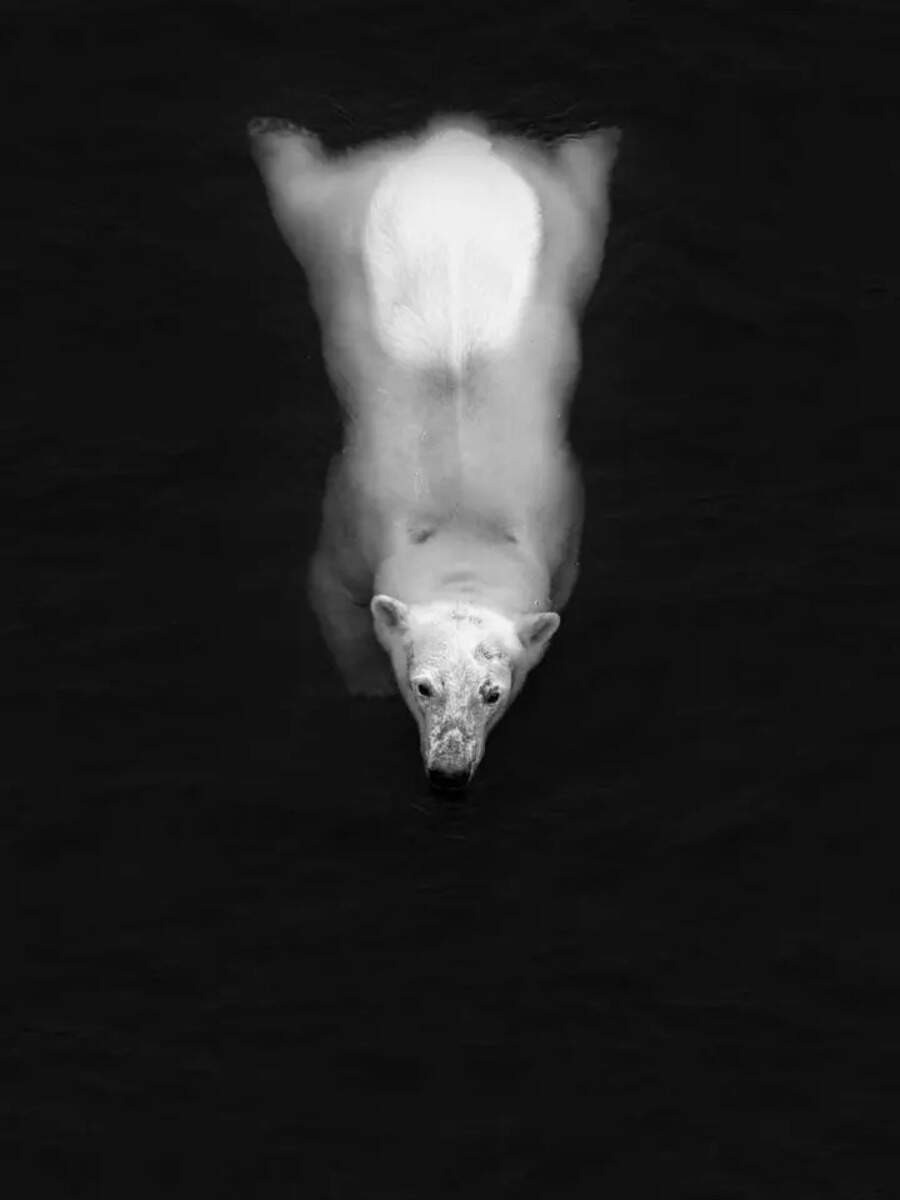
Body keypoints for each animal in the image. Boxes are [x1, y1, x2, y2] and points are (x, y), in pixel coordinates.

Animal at [248, 113, 619, 790]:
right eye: (422, 685)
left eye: (493, 691)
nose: (449, 772)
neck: (461, 518)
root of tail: (453, 144)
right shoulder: (352, 520)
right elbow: (330, 588)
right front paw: (366, 682)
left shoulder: (564, 529)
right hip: (340, 217)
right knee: (300, 187)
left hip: (566, 223)